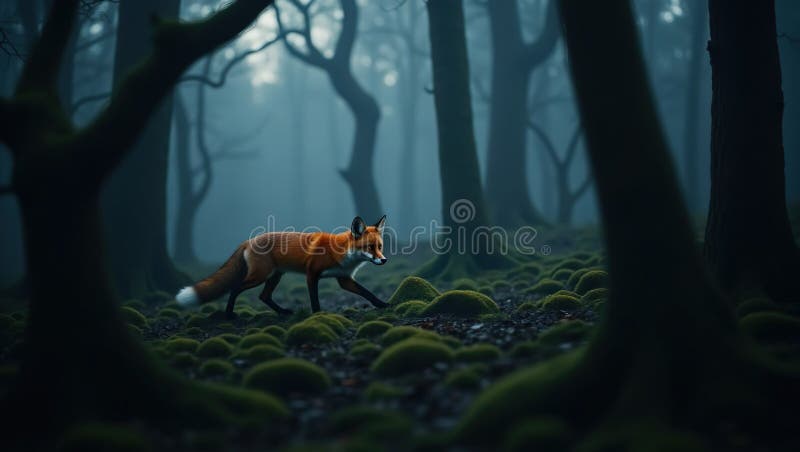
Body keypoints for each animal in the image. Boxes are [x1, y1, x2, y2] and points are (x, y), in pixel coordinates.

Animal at [175, 216, 389, 317]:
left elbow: (367, 293)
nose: (384, 260)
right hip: (260, 276)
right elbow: (315, 300)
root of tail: (249, 240)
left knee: (264, 296)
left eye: (379, 246)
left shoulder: (344, 279)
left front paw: (383, 304)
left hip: (275, 276)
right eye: (369, 247)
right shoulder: (312, 274)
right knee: (236, 288)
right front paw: (318, 316)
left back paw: (283, 312)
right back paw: (229, 315)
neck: (341, 253)